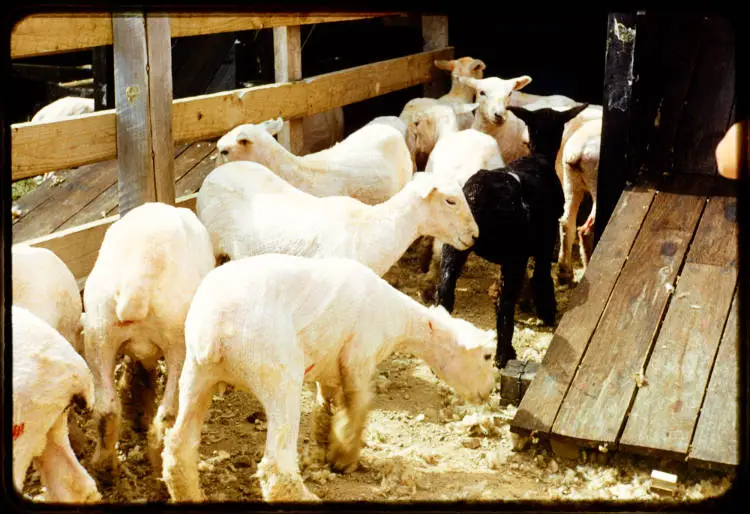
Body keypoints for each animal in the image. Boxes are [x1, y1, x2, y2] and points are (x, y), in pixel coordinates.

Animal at [82, 202, 215, 477]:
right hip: (180, 344)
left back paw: (104, 468)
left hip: (99, 333)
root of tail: (139, 281)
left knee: (107, 409)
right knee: (168, 414)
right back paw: (156, 463)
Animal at [161, 253, 497, 503]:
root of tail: (215, 330)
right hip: (277, 370)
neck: (399, 319)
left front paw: (325, 446)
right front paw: (344, 455)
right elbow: (360, 404)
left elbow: (327, 406)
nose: (487, 393)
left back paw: (190, 494)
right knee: (277, 467)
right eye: (487, 356)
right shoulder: (359, 355)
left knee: (178, 446)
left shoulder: (329, 364)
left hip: (197, 372)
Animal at [436, 103, 589, 370]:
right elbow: (541, 277)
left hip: (454, 244)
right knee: (505, 303)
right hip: (513, 253)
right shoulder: (544, 240)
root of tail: (478, 197)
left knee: (445, 291)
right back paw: (504, 355)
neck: (539, 156)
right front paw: (547, 313)